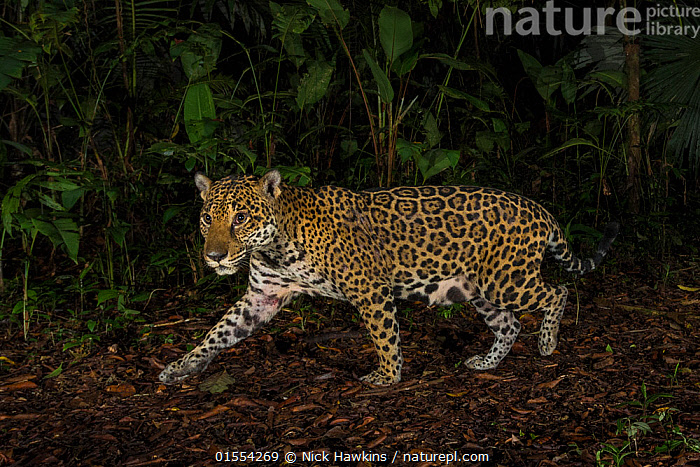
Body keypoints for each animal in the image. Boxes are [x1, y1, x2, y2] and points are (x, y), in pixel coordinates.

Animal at [159, 170, 618, 386]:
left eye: (241, 217)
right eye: (207, 218)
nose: (214, 257)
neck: (277, 245)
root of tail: (539, 208)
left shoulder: (370, 289)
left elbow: (383, 336)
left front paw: (387, 377)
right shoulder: (262, 297)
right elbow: (218, 332)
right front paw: (181, 366)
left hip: (508, 279)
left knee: (557, 291)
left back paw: (548, 342)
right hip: (478, 288)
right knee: (509, 323)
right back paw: (486, 363)